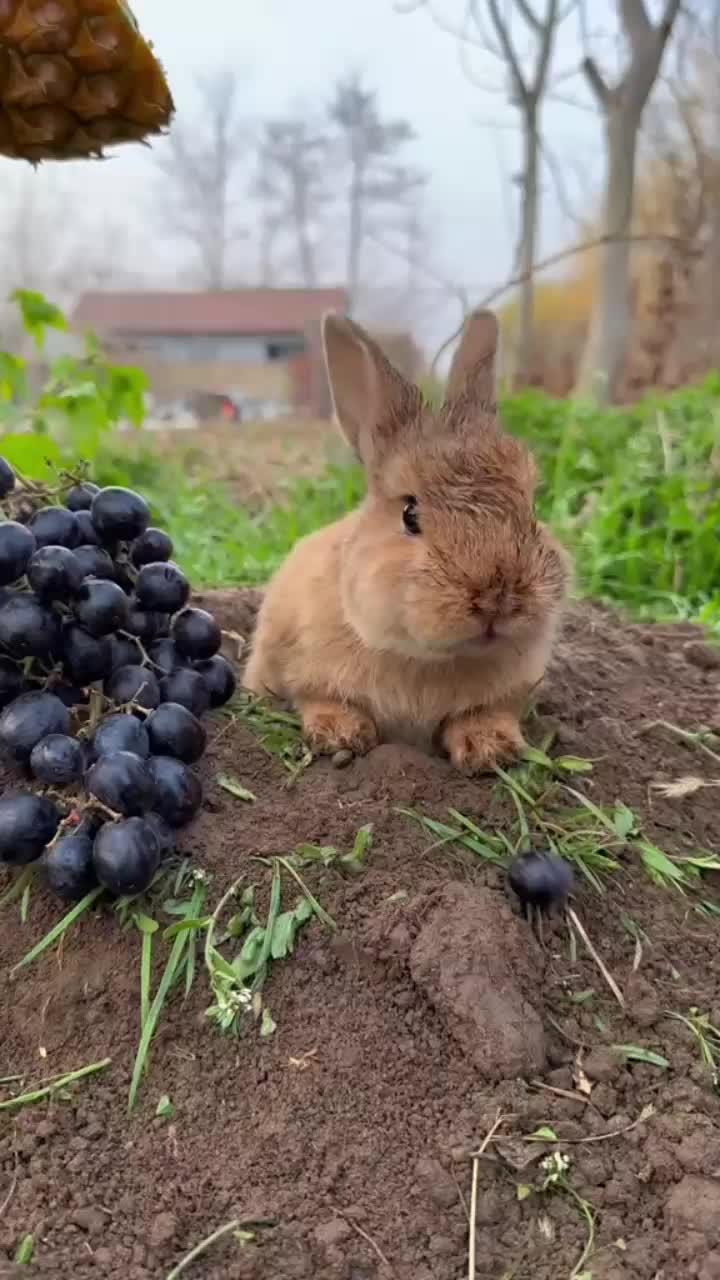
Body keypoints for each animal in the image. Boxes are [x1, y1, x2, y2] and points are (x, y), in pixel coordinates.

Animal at [243, 307, 570, 773]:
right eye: (409, 514)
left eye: (530, 504)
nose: (498, 598)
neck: (426, 657)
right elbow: (318, 698)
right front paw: (341, 734)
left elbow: (486, 713)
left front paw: (489, 747)